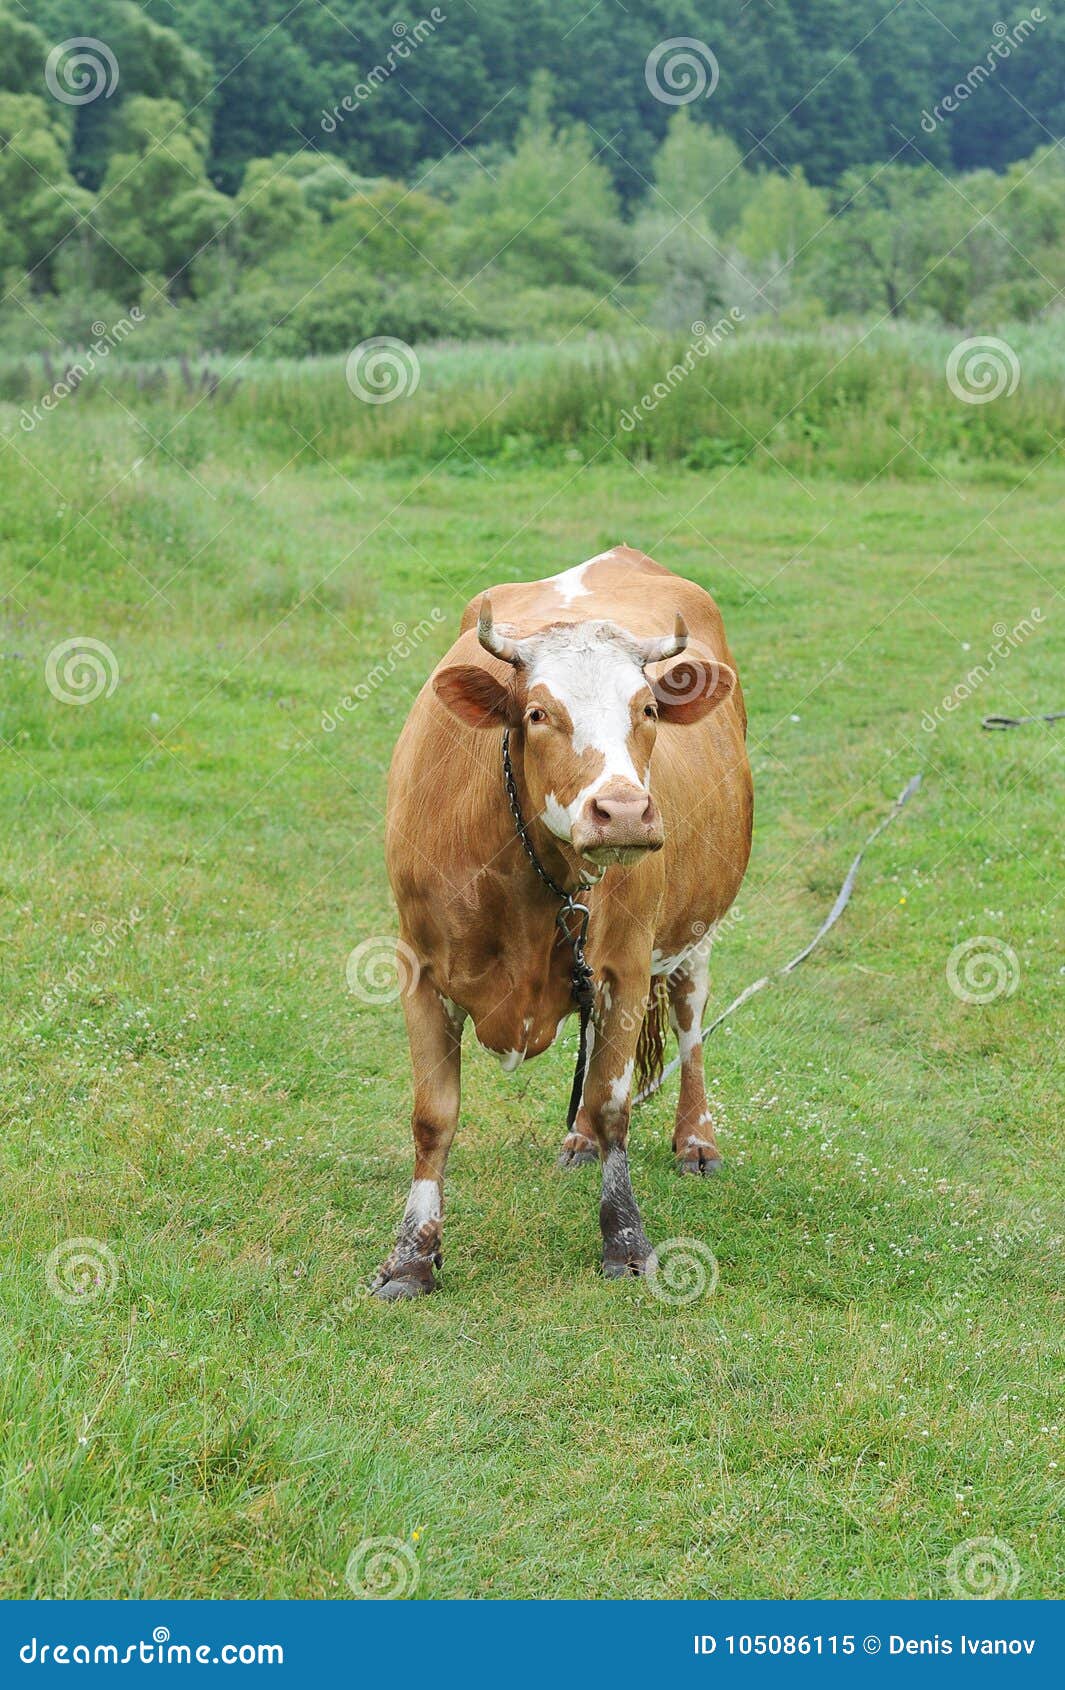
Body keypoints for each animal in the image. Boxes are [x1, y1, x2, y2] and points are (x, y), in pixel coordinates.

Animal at [373, 545, 753, 1299]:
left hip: (694, 930)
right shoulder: (419, 969)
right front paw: (411, 1256)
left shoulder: (625, 969)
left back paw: (696, 1139)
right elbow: (433, 1117)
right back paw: (575, 1138)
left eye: (646, 708)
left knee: (691, 1018)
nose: (624, 812)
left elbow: (613, 1106)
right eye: (539, 712)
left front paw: (625, 1241)